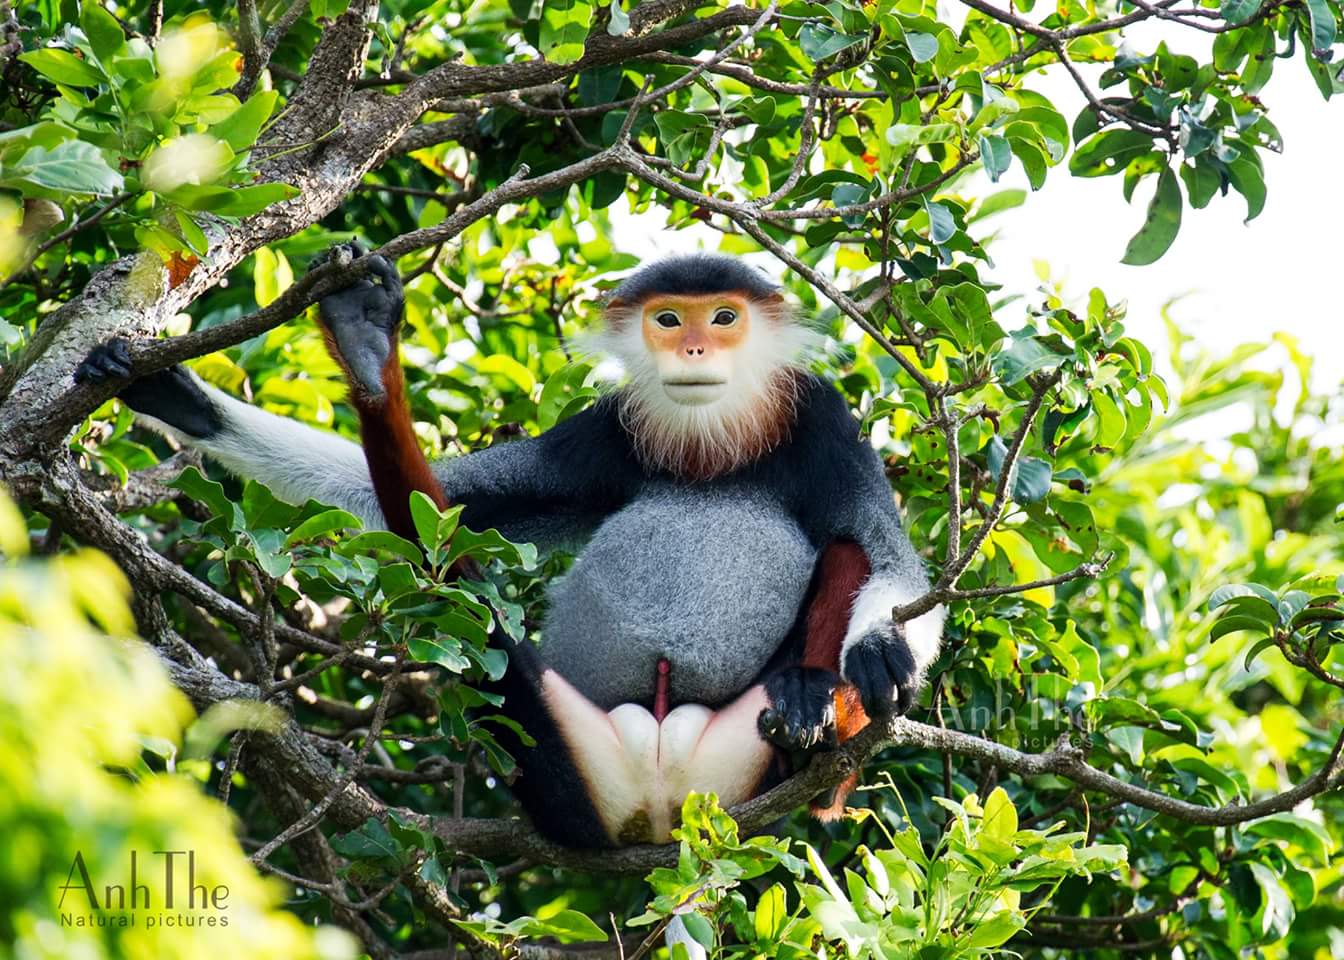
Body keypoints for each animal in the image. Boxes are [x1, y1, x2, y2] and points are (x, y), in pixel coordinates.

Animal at [76, 246, 946, 848]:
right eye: (670, 319)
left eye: (722, 318)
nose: (695, 349)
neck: (716, 445)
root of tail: (661, 807)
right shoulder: (606, 434)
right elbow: (428, 507)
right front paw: (180, 401)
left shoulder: (825, 423)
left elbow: (893, 562)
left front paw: (879, 647)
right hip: (563, 761)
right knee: (455, 589)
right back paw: (368, 356)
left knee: (846, 555)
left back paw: (810, 719)